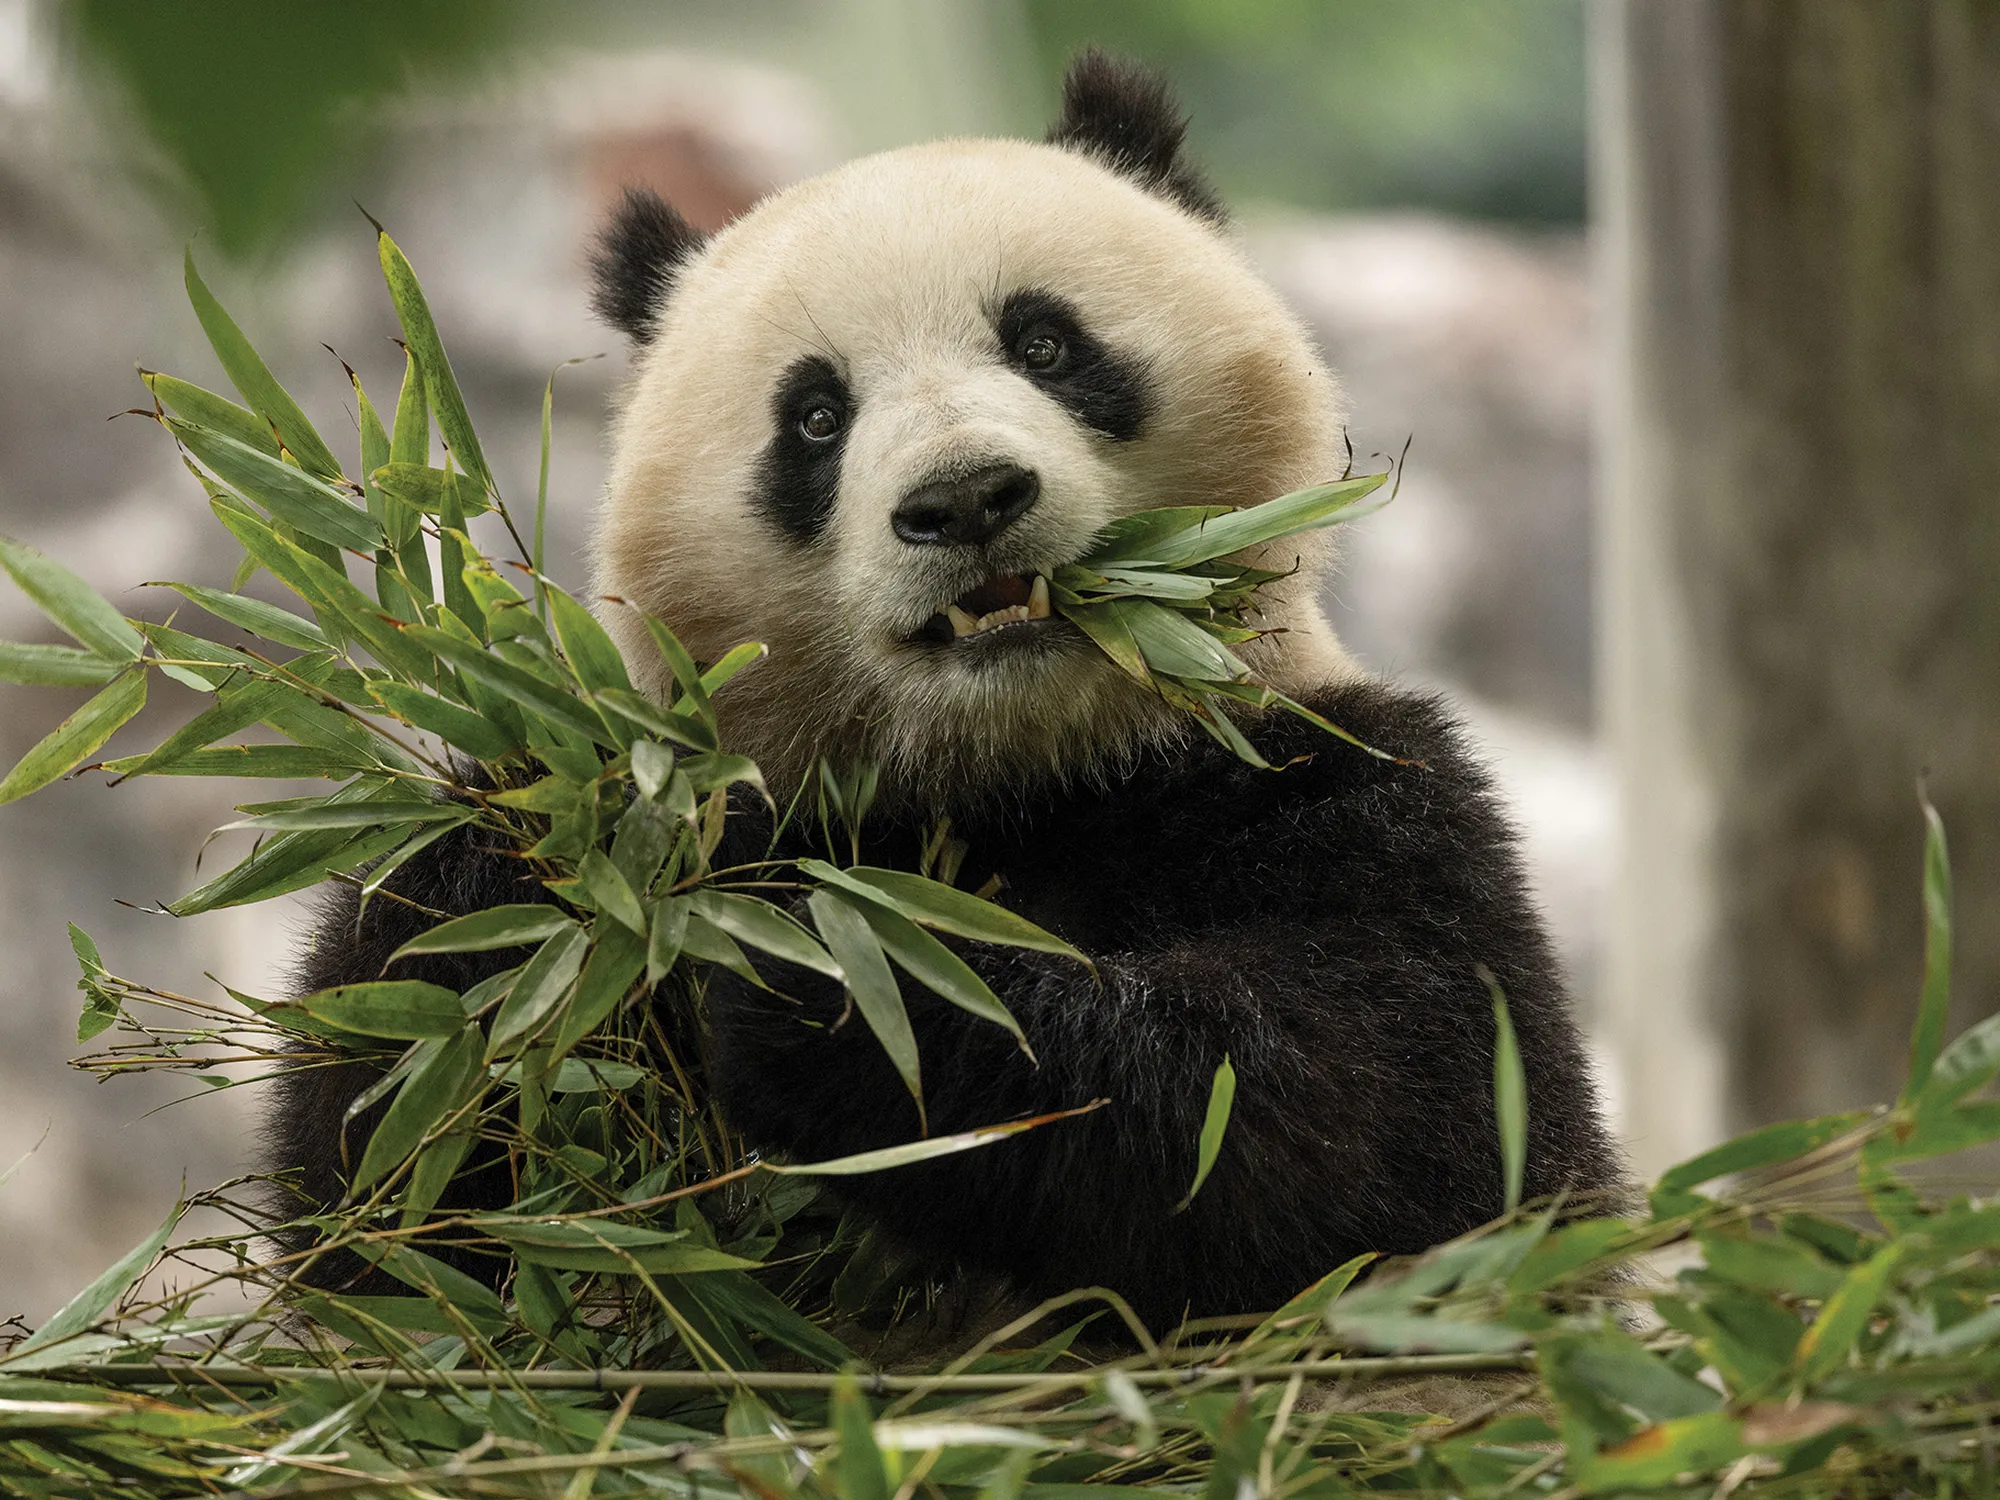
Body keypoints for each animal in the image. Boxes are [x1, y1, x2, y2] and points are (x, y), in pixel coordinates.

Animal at [273, 52, 1626, 1334]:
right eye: (815, 415)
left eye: (1044, 343)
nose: (965, 499)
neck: (1014, 770)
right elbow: (393, 1222)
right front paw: (517, 875)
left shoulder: (1346, 788)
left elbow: (1383, 1134)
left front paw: (831, 981)